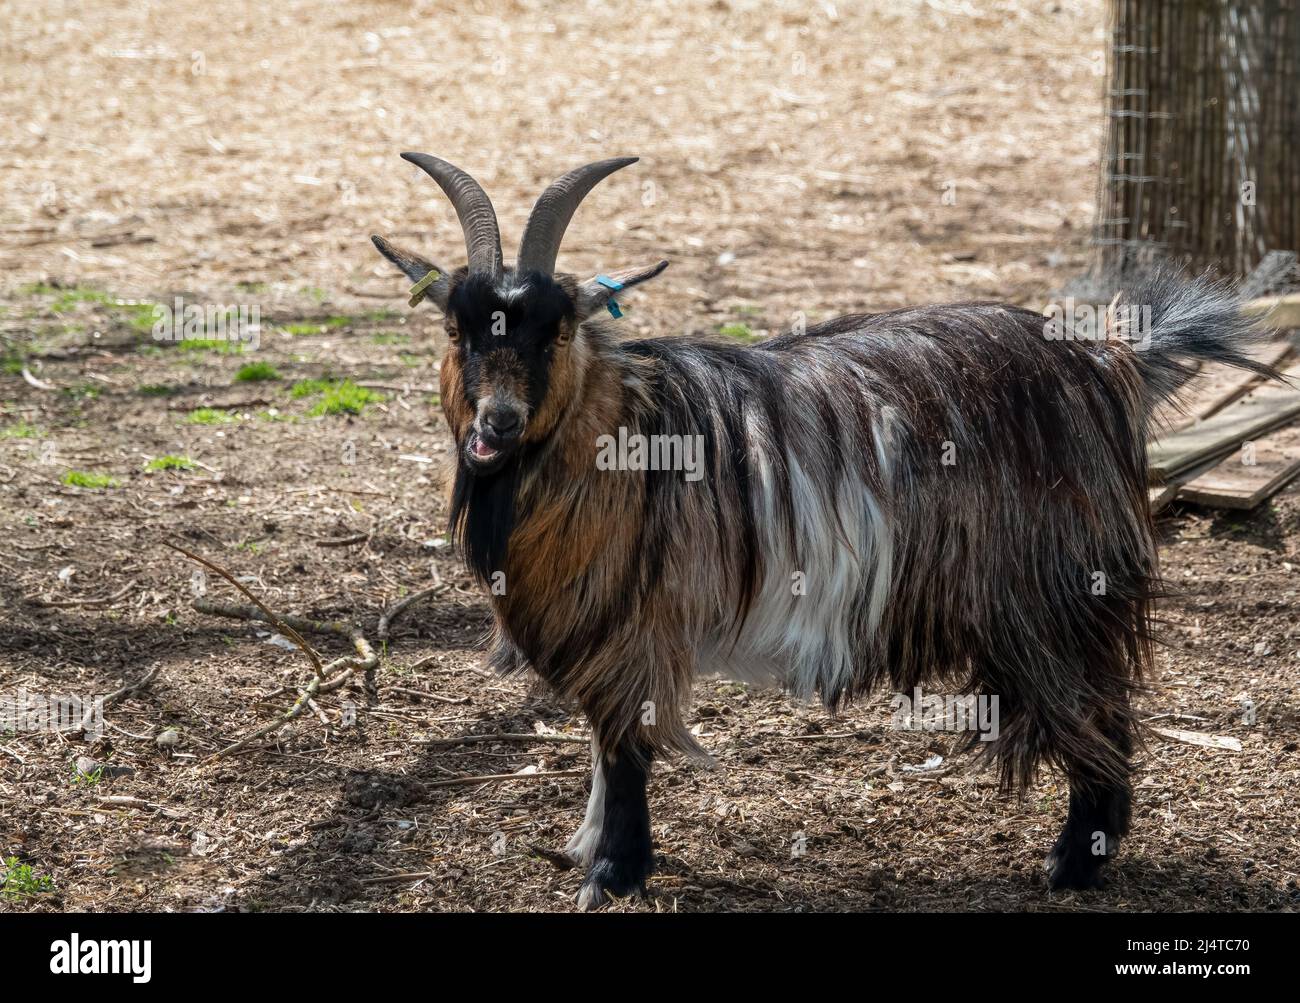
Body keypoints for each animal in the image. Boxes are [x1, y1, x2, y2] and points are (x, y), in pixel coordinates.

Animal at [371, 153, 1277, 909]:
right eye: (456, 328)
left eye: (553, 329)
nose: (496, 422)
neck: (615, 431)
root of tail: (1105, 361)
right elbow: (603, 741)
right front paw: (588, 846)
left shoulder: (635, 623)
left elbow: (626, 743)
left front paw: (614, 872)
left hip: (1052, 593)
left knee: (1100, 706)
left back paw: (1075, 861)